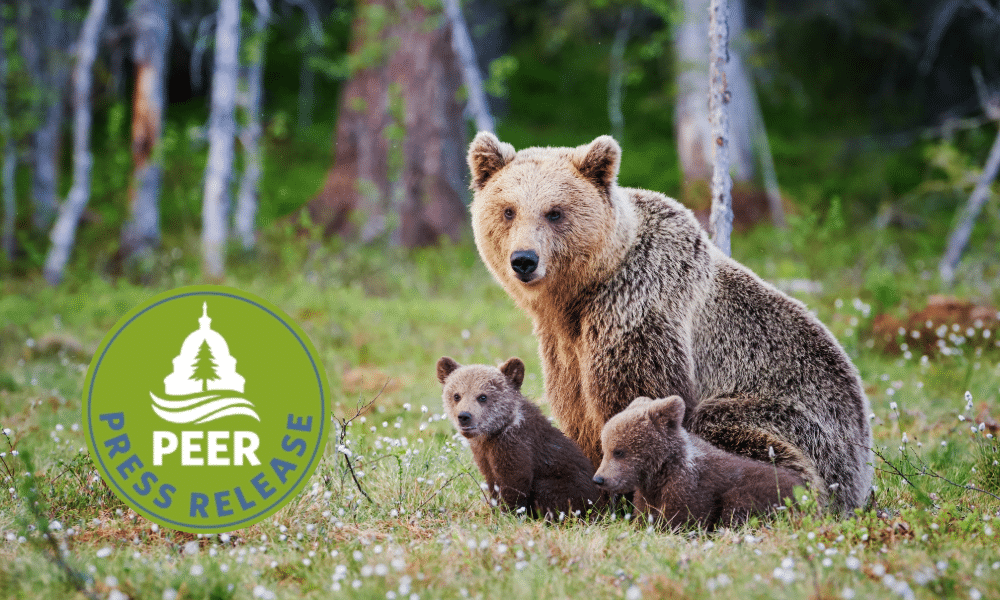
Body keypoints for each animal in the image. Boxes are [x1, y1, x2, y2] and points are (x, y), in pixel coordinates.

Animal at [436, 356, 604, 519]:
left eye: (482, 396)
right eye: (456, 395)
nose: (464, 416)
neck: (493, 434)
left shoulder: (514, 447)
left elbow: (515, 483)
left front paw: (508, 514)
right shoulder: (483, 455)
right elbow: (492, 482)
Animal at [466, 131, 873, 514]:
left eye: (554, 212)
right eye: (508, 210)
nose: (524, 259)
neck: (581, 295)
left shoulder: (638, 310)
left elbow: (636, 401)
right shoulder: (563, 343)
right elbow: (575, 407)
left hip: (800, 423)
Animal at [593, 396, 805, 530]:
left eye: (618, 451)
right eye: (605, 449)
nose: (599, 479)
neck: (659, 473)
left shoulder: (691, 487)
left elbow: (684, 517)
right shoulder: (648, 494)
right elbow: (645, 514)